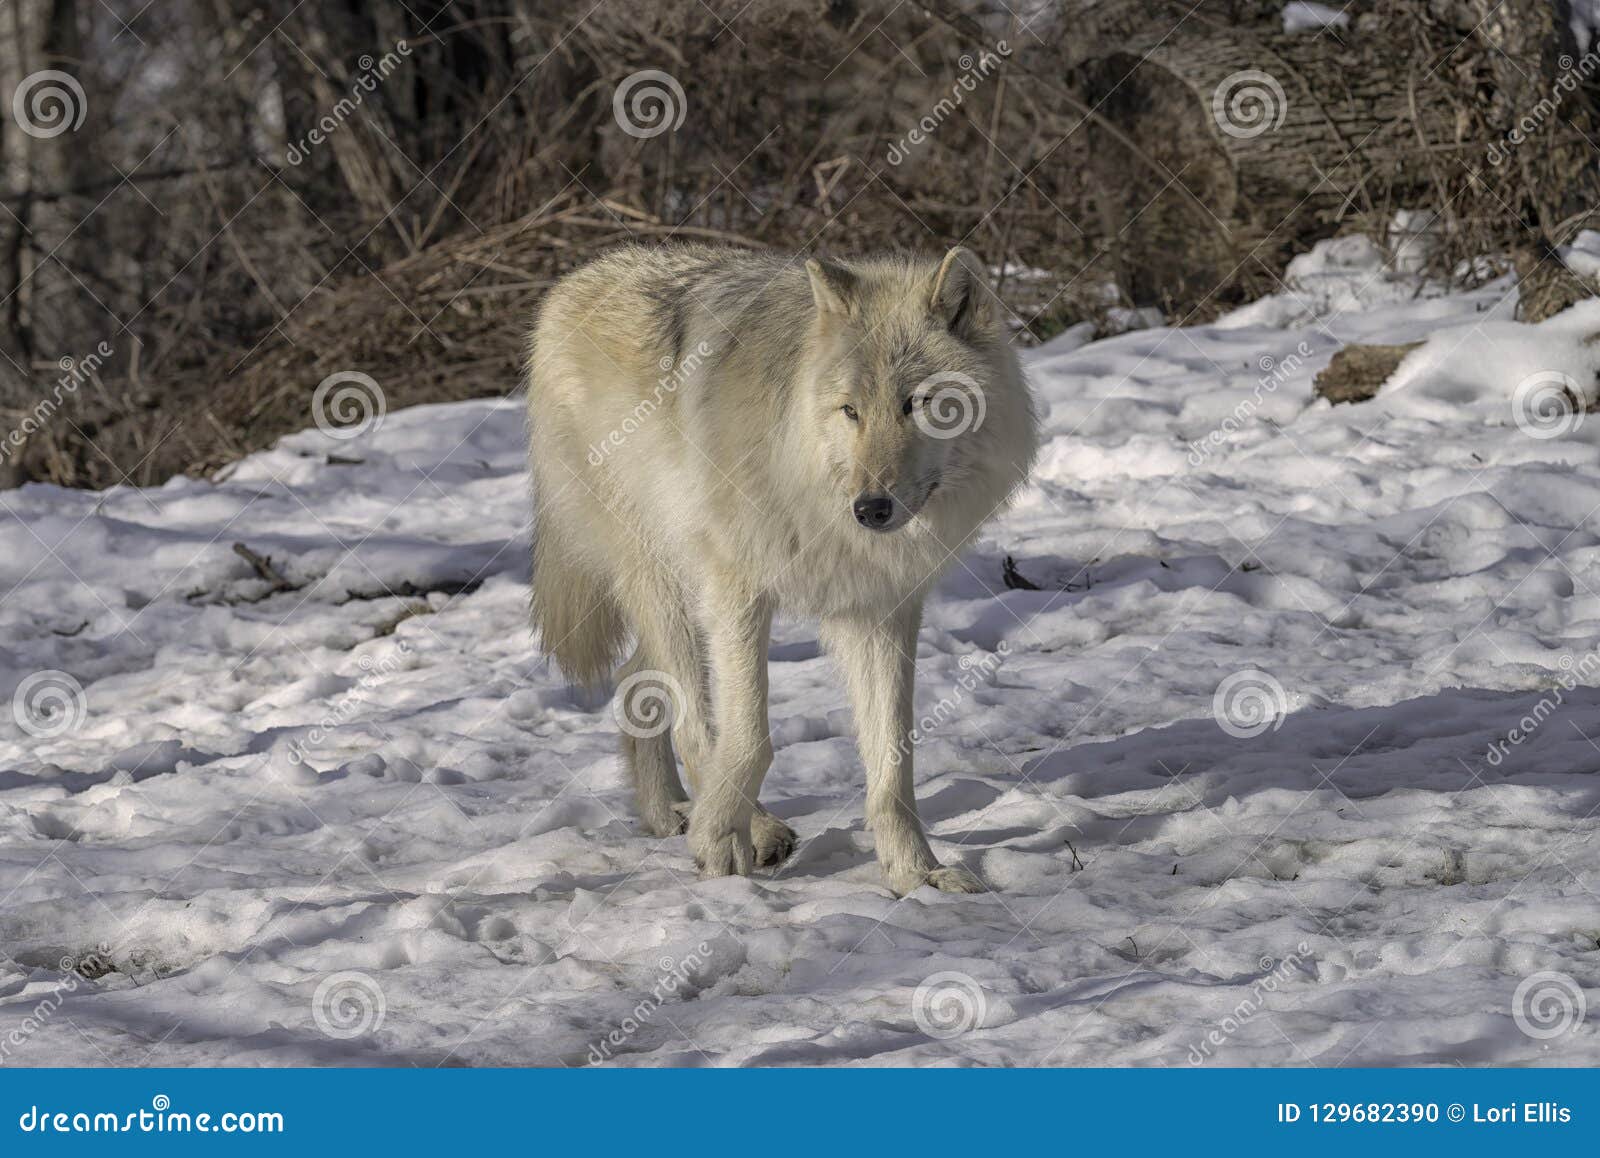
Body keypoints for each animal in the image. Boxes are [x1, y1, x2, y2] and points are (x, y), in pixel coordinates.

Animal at [525, 243, 1037, 895]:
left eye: (918, 403)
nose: (871, 508)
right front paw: (722, 839)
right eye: (850, 411)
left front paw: (916, 872)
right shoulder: (737, 593)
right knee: (689, 716)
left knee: (634, 679)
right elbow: (749, 739)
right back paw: (744, 828)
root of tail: (575, 281)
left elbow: (892, 760)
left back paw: (668, 812)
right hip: (667, 583)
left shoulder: (880, 611)